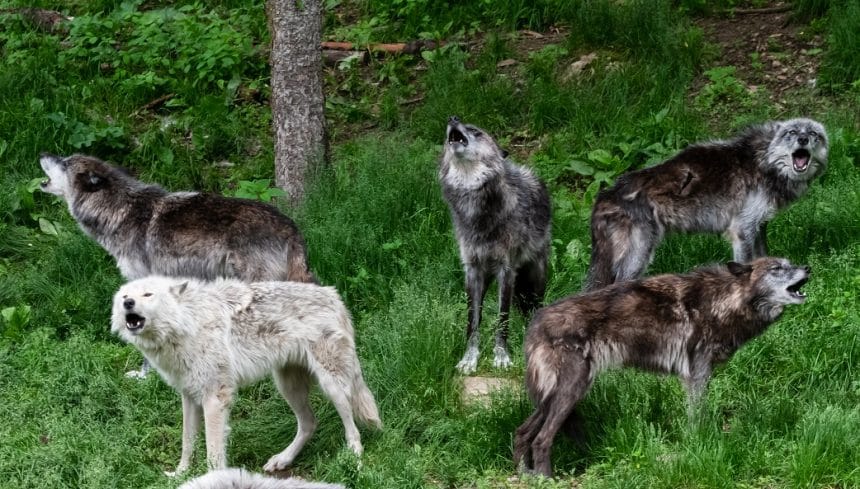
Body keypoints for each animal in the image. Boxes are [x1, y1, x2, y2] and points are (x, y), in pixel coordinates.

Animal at [111, 276, 382, 476]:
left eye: (148, 295)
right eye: (125, 296)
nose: (128, 303)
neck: (188, 323)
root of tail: (334, 296)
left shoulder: (215, 398)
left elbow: (213, 451)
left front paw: (212, 478)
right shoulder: (189, 397)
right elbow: (187, 442)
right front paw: (180, 474)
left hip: (332, 386)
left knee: (351, 428)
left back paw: (353, 462)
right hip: (287, 386)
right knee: (309, 423)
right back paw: (282, 460)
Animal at [439, 116, 552, 374]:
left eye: (476, 131)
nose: (452, 118)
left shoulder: (506, 269)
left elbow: (503, 317)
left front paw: (501, 356)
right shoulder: (472, 269)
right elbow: (472, 320)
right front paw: (469, 358)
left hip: (534, 278)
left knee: (533, 307)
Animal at [514, 257, 810, 476]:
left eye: (790, 263)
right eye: (776, 268)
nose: (808, 268)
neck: (724, 300)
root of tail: (536, 322)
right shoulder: (697, 374)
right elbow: (697, 417)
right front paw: (699, 444)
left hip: (557, 395)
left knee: (522, 432)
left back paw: (523, 473)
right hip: (571, 391)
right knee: (541, 438)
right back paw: (546, 478)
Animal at [585, 118, 827, 291]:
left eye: (813, 134)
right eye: (792, 133)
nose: (803, 140)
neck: (763, 161)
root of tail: (604, 196)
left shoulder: (758, 225)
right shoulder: (742, 230)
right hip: (638, 255)